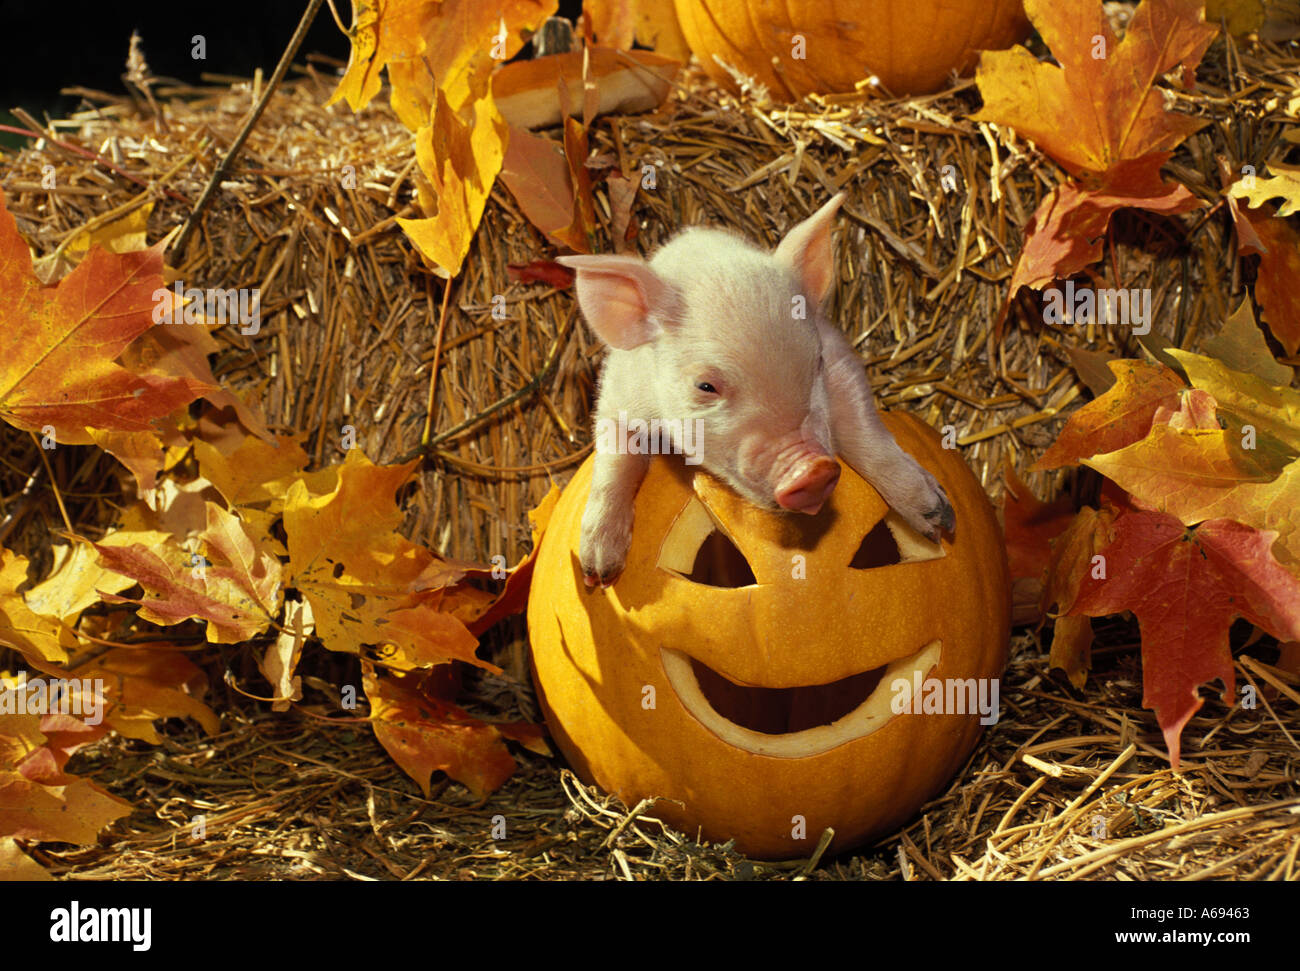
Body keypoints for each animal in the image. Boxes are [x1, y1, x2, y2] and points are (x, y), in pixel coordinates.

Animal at [557, 193, 955, 587]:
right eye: (705, 386)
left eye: (815, 363)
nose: (812, 471)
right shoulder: (620, 393)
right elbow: (615, 460)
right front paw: (599, 574)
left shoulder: (840, 361)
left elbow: (862, 429)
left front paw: (940, 520)